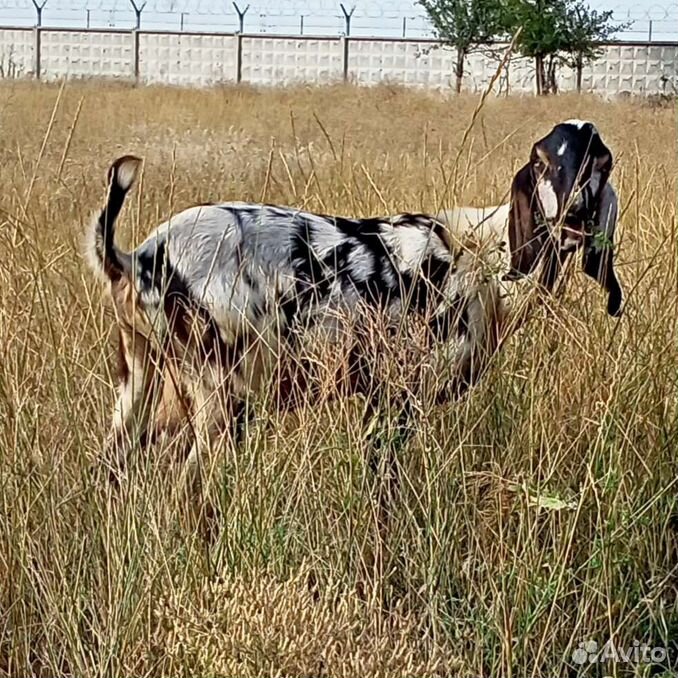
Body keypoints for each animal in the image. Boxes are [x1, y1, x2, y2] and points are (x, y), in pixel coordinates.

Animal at [87, 119, 624, 486]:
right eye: (541, 161)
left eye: (602, 162)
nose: (574, 216)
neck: (485, 254)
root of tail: (137, 257)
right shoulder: (398, 400)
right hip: (223, 399)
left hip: (141, 383)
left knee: (115, 466)